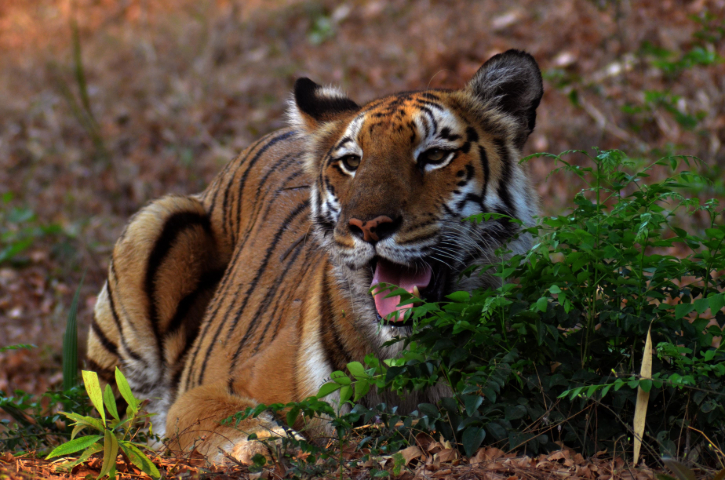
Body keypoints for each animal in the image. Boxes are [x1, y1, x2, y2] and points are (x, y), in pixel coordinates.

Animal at [86, 49, 543, 463]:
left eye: (434, 156)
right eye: (352, 162)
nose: (368, 226)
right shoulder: (208, 391)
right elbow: (232, 422)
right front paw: (269, 445)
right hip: (156, 222)